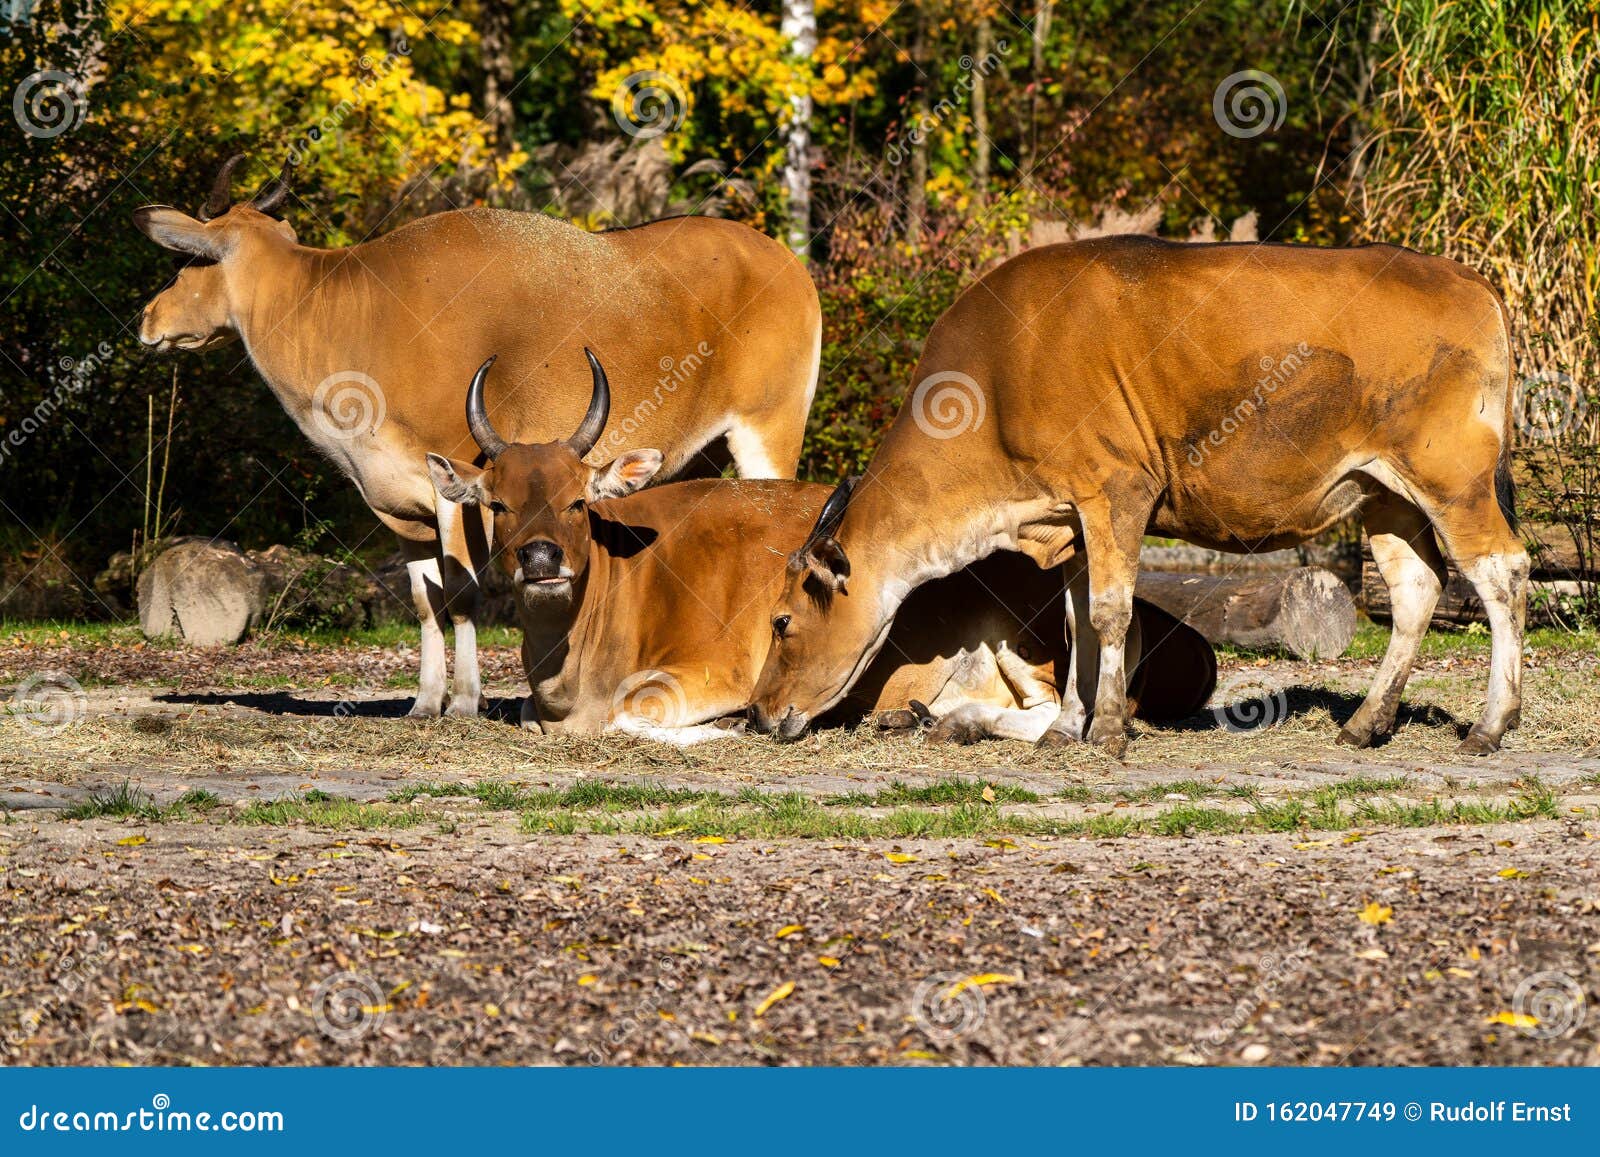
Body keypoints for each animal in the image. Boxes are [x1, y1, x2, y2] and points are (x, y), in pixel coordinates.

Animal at [132, 156, 820, 718]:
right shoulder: (401, 507)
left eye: (189, 260)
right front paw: (425, 701)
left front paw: (464, 701)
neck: (348, 309)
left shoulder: (456, 492)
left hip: (767, 434)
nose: (147, 319)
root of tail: (787, 262)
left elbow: (462, 593)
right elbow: (422, 598)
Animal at [424, 354, 1217, 744]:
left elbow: (628, 717)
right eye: (497, 502)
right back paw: (913, 716)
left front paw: (725, 728)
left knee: (1051, 711)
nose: (541, 559)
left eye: (578, 500)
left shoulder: (709, 675)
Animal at [749, 236, 1528, 756]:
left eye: (782, 621)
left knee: (1502, 572)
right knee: (1417, 589)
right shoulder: (1066, 517)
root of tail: (1471, 280)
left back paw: (1491, 724)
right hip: (1383, 493)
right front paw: (1067, 726)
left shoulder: (1117, 492)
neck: (999, 377)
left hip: (1452, 480)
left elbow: (1111, 614)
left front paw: (1110, 730)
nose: (757, 711)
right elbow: (1077, 624)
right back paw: (1367, 723)